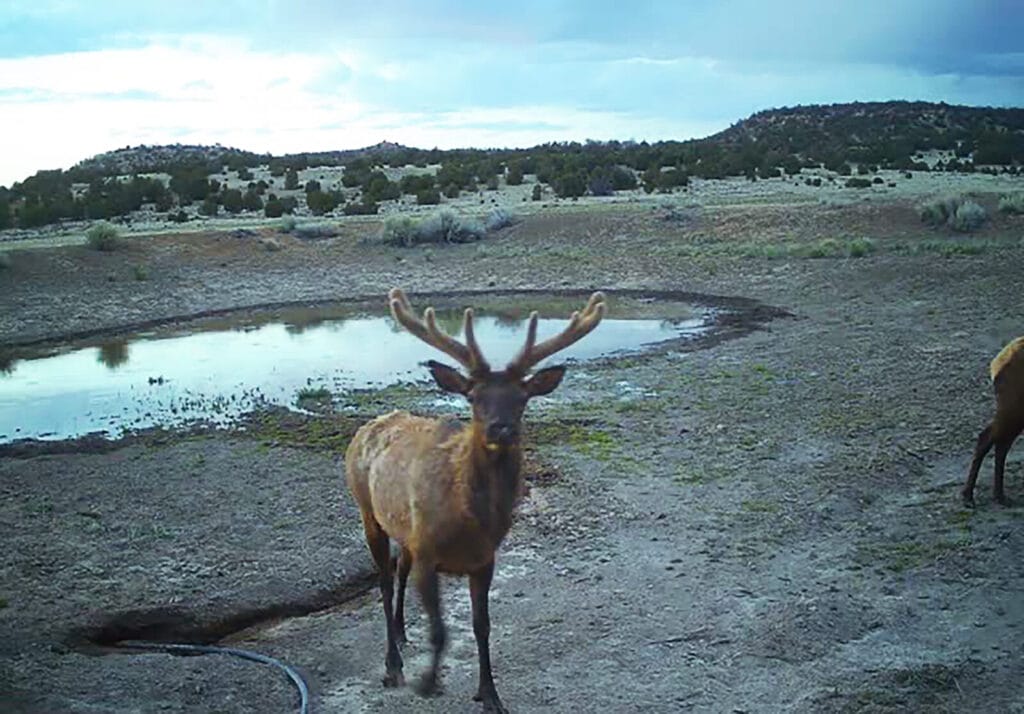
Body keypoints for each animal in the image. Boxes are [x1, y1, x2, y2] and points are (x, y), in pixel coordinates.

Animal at [345, 288, 606, 713]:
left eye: (523, 397)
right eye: (473, 397)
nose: (502, 427)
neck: (471, 522)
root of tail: (370, 424)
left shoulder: (484, 559)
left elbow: (481, 626)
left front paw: (490, 694)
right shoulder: (428, 549)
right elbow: (439, 630)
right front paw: (427, 682)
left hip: (404, 528)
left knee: (399, 570)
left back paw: (400, 633)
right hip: (367, 509)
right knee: (383, 581)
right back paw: (393, 664)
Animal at [962, 336, 1024, 507]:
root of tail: (996, 364)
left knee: (1000, 443)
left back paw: (997, 495)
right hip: (1013, 408)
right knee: (989, 439)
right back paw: (969, 495)